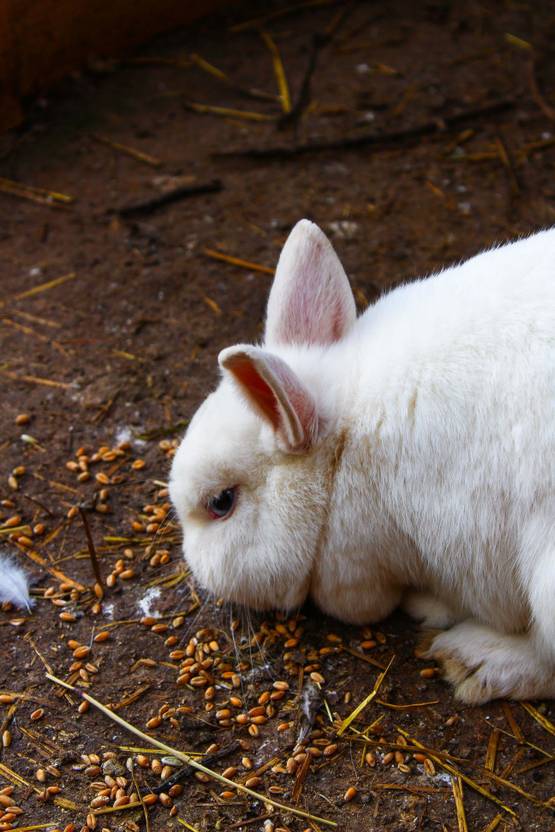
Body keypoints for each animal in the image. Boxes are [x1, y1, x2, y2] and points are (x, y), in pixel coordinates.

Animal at [169, 219, 555, 704]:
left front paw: (425, 607)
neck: (341, 450)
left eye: (221, 503)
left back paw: (472, 661)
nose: (193, 563)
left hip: (547, 580)